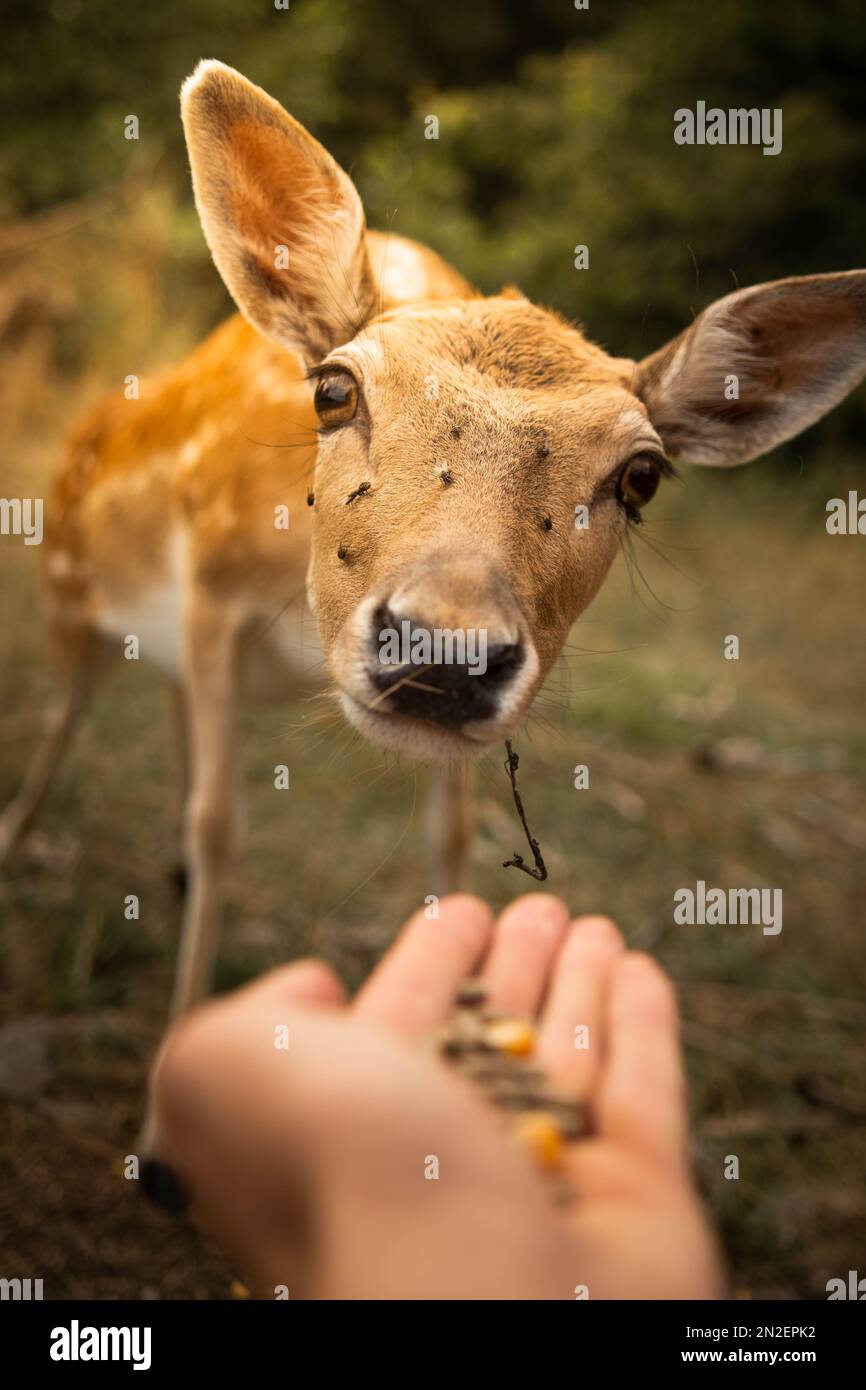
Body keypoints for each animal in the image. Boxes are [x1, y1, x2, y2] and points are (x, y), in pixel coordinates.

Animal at [2, 61, 866, 1121]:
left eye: (642, 476)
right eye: (334, 388)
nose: (443, 651)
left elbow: (449, 838)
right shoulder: (206, 591)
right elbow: (220, 826)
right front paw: (166, 1119)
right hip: (71, 594)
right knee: (67, 713)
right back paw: (16, 845)